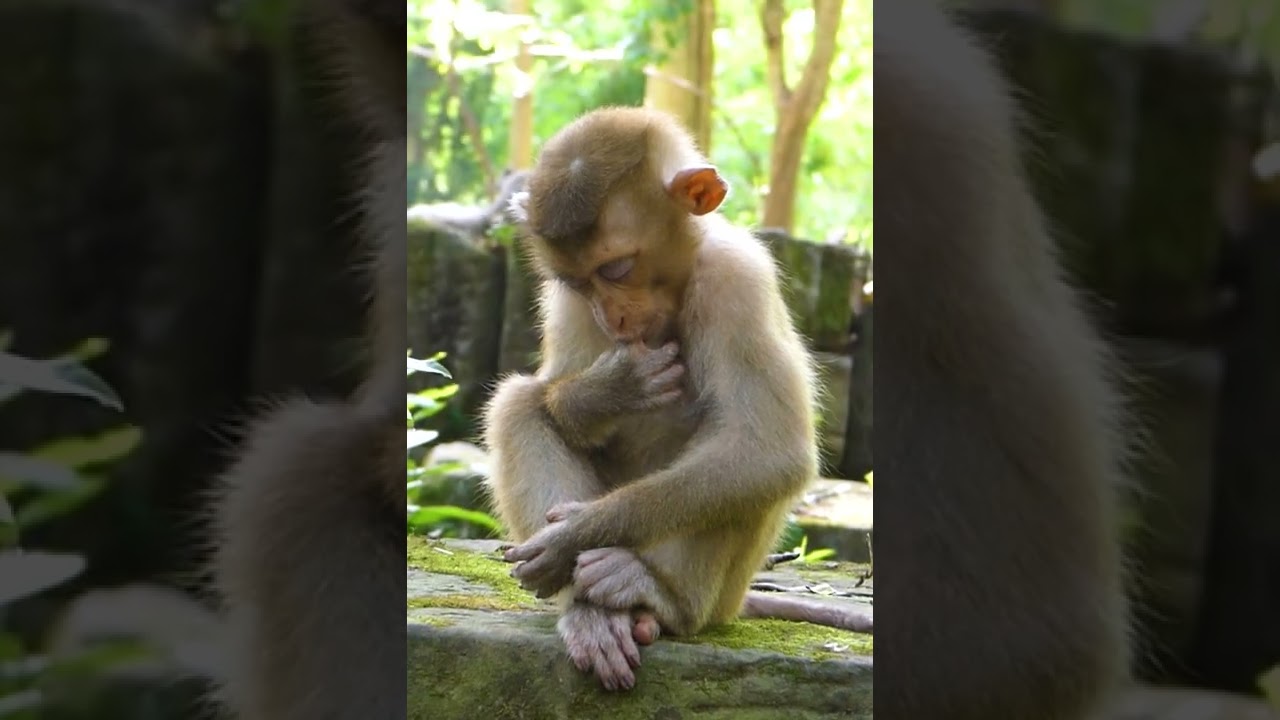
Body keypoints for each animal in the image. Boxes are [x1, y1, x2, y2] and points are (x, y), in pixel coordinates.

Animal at [482, 106, 872, 693]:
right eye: (579, 281)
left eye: (617, 268)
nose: (611, 318)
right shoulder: (566, 301)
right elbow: (556, 399)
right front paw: (607, 392)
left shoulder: (737, 278)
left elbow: (768, 450)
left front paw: (574, 534)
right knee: (520, 404)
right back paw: (590, 615)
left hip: (721, 596)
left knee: (740, 455)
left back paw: (655, 594)